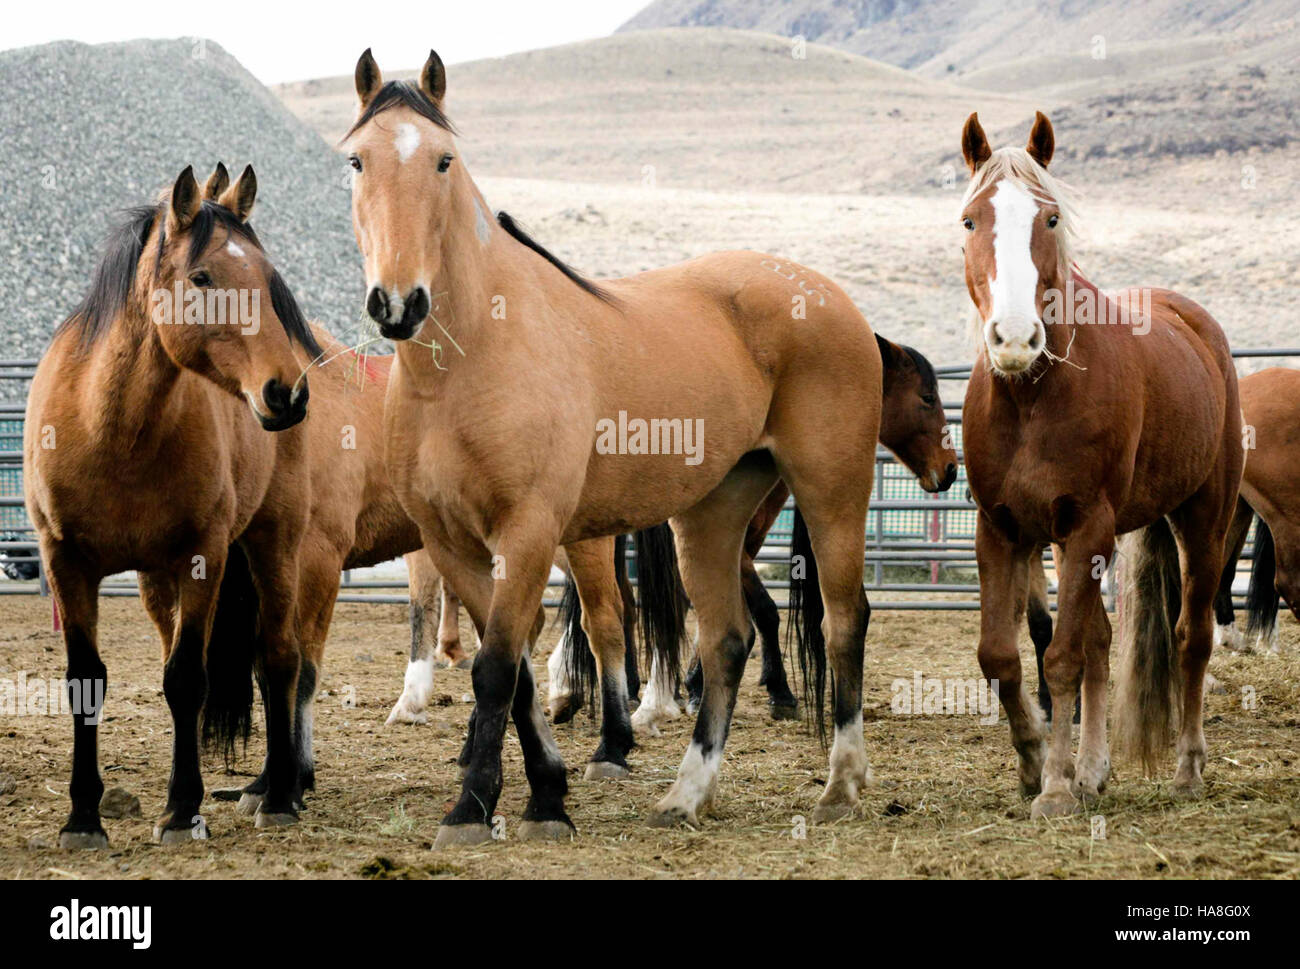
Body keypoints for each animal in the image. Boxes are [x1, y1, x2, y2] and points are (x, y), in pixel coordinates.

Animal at [24, 164, 323, 847]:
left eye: (266, 278)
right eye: (203, 277)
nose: (287, 393)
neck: (110, 429)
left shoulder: (201, 557)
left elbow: (188, 679)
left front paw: (182, 811)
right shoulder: (65, 563)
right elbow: (88, 681)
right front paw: (83, 819)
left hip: (273, 543)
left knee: (279, 659)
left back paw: (278, 794)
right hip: (157, 581)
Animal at [345, 49, 882, 842]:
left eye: (444, 160)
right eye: (357, 161)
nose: (398, 303)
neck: (470, 363)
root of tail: (829, 297)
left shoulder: (531, 531)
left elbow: (499, 667)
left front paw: (477, 806)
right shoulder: (451, 542)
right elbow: (513, 669)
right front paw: (545, 791)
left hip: (832, 492)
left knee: (844, 622)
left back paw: (841, 786)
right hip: (712, 513)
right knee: (725, 643)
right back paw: (687, 794)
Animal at [959, 112, 1242, 817]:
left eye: (1051, 217)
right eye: (971, 220)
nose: (1014, 338)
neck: (1032, 394)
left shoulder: (1088, 526)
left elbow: (1059, 659)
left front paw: (1055, 788)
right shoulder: (1001, 529)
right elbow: (1002, 656)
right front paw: (1036, 762)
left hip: (1204, 520)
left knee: (1192, 636)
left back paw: (1187, 769)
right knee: (1102, 644)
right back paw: (1094, 769)